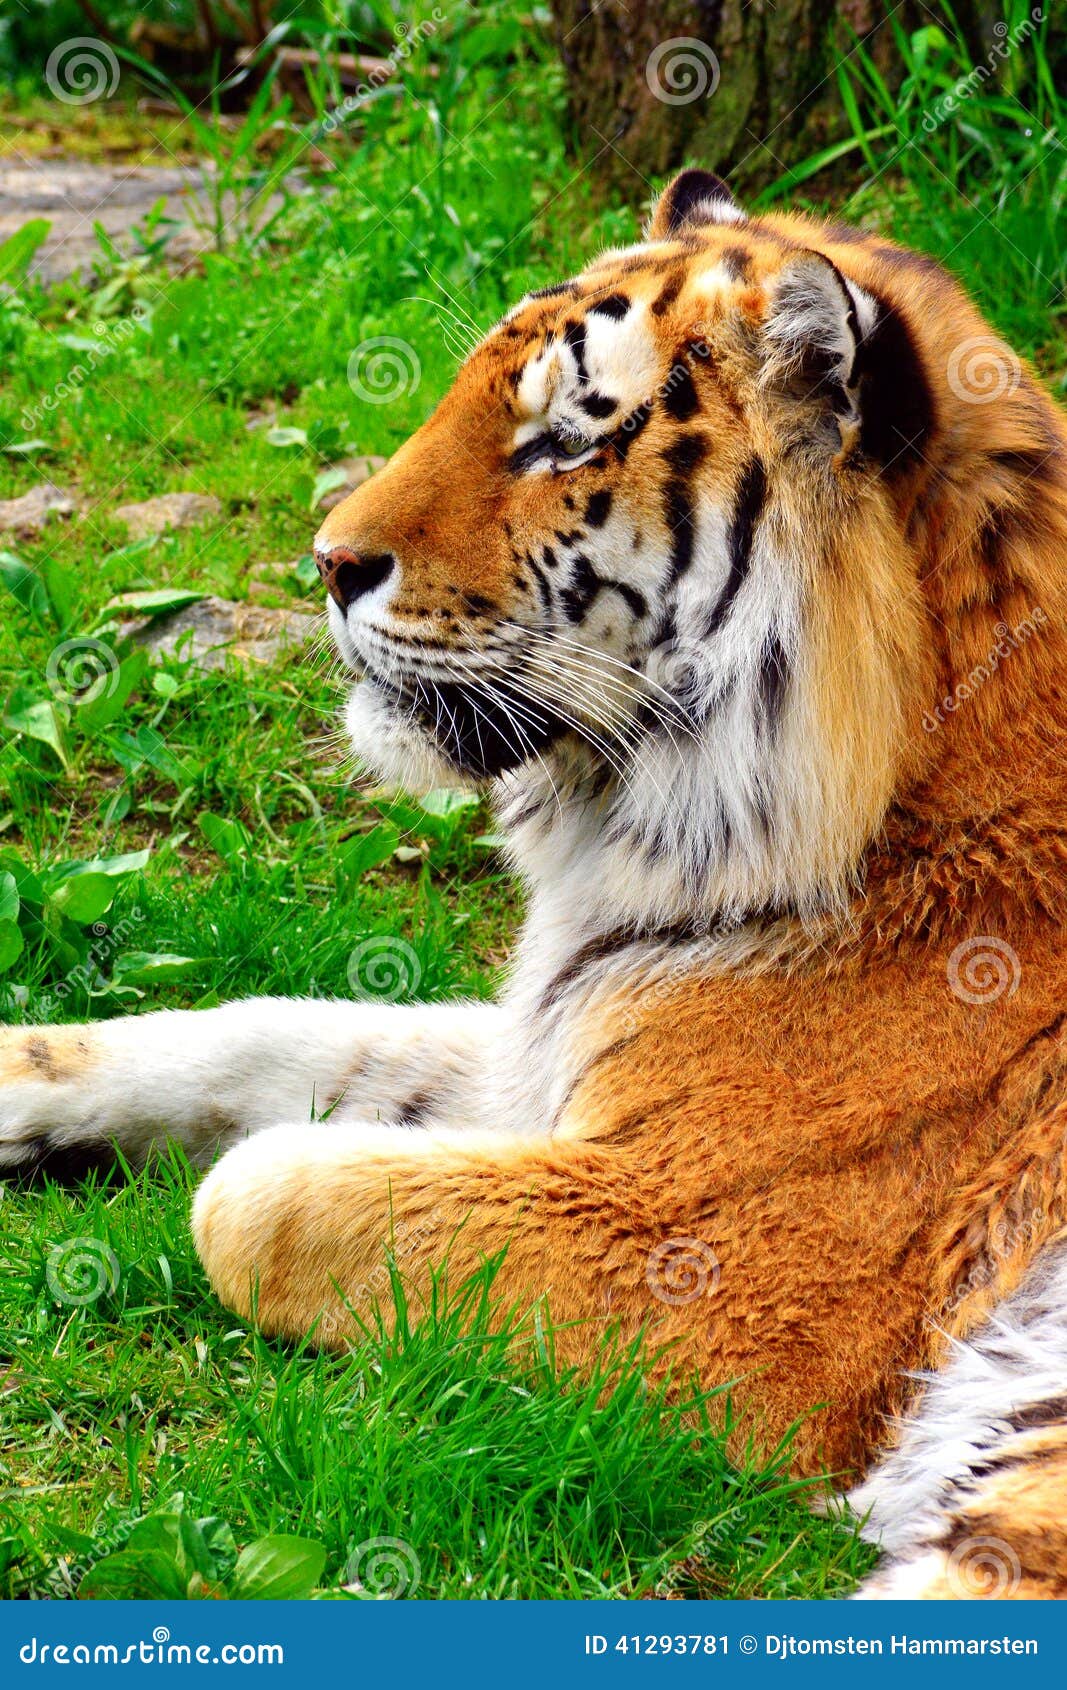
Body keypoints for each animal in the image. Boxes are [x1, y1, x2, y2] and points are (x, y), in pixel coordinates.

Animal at [4, 170, 1067, 1600]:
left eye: (565, 439)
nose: (325, 562)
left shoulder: (709, 1247)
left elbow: (252, 1191)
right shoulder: (552, 1044)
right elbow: (274, 1030)